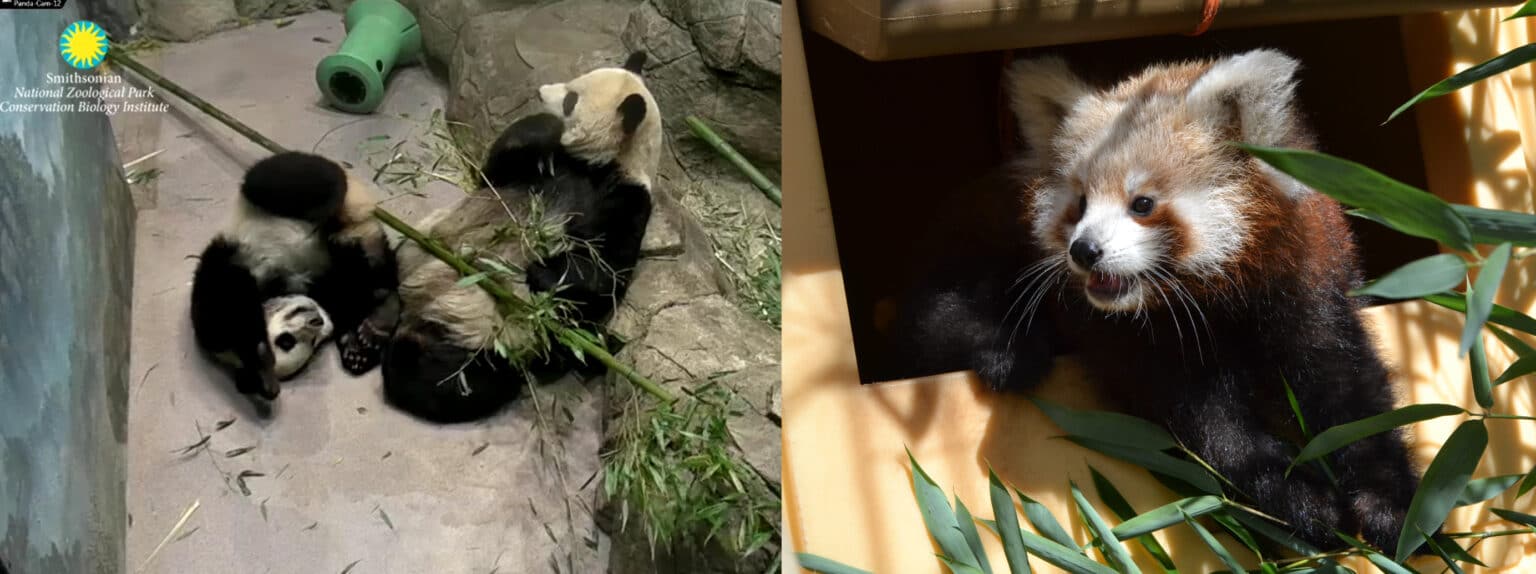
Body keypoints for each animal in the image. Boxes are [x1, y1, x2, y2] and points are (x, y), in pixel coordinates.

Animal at [191, 151, 395, 400]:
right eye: (290, 342)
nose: (316, 321)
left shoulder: (224, 262)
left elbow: (220, 308)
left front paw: (260, 362)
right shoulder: (323, 288)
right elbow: (347, 301)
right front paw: (355, 349)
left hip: (271, 200)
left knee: (290, 180)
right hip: (352, 249)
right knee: (373, 275)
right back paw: (379, 318)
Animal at [340, 52, 660, 423]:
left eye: (570, 100)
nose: (540, 91)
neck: (600, 163)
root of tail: (415, 310)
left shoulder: (628, 198)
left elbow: (603, 268)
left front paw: (541, 272)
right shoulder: (529, 172)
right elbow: (494, 170)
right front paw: (542, 129)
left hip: (488, 337)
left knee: (451, 380)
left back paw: (384, 343)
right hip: (408, 250)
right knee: (361, 270)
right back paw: (364, 336)